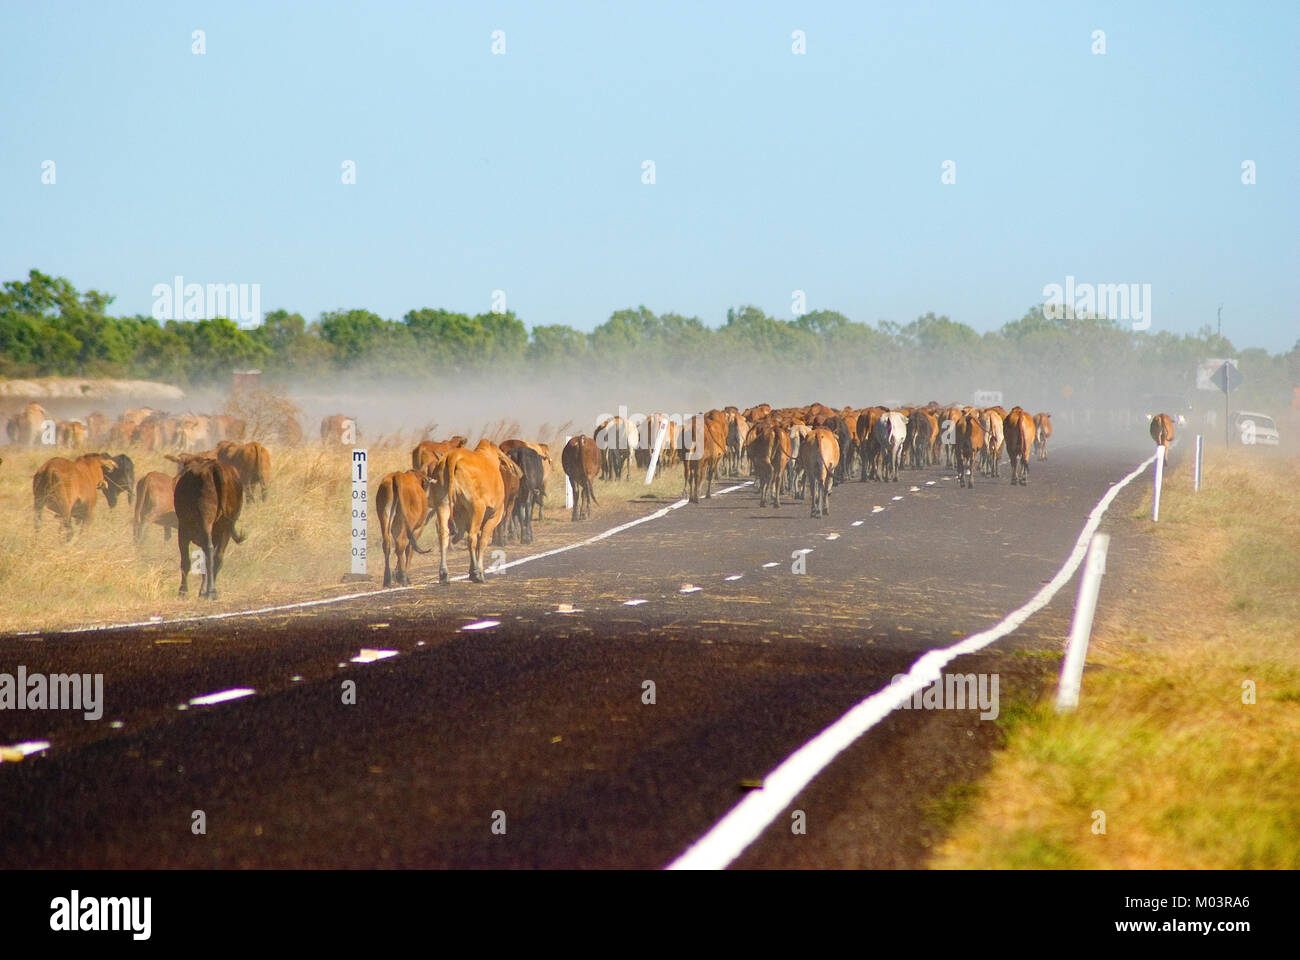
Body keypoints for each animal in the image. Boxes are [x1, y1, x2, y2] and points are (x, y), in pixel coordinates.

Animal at [174, 458, 246, 599]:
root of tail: (213, 467)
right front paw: (202, 590)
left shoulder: (183, 530)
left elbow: (185, 561)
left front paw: (183, 591)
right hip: (225, 527)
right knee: (217, 556)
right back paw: (211, 591)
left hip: (205, 520)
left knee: (208, 550)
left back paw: (210, 591)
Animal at [428, 447, 506, 584]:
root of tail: (453, 456)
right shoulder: (494, 515)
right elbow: (482, 541)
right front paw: (477, 571)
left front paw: (471, 571)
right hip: (477, 508)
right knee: (471, 538)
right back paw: (478, 574)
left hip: (443, 504)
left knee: (444, 535)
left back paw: (444, 574)